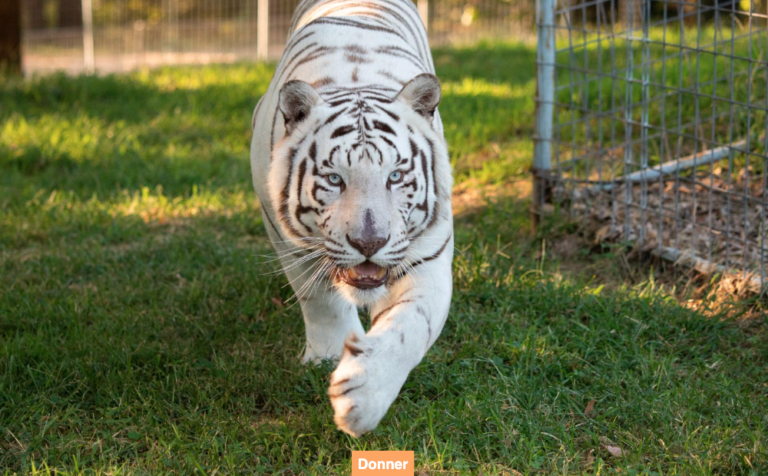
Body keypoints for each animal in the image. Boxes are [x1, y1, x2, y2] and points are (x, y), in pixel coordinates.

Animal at [249, 0, 454, 437]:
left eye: (395, 176)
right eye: (334, 179)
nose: (368, 243)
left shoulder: (428, 256)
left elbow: (411, 326)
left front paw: (362, 395)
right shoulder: (290, 243)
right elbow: (322, 300)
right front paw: (327, 357)